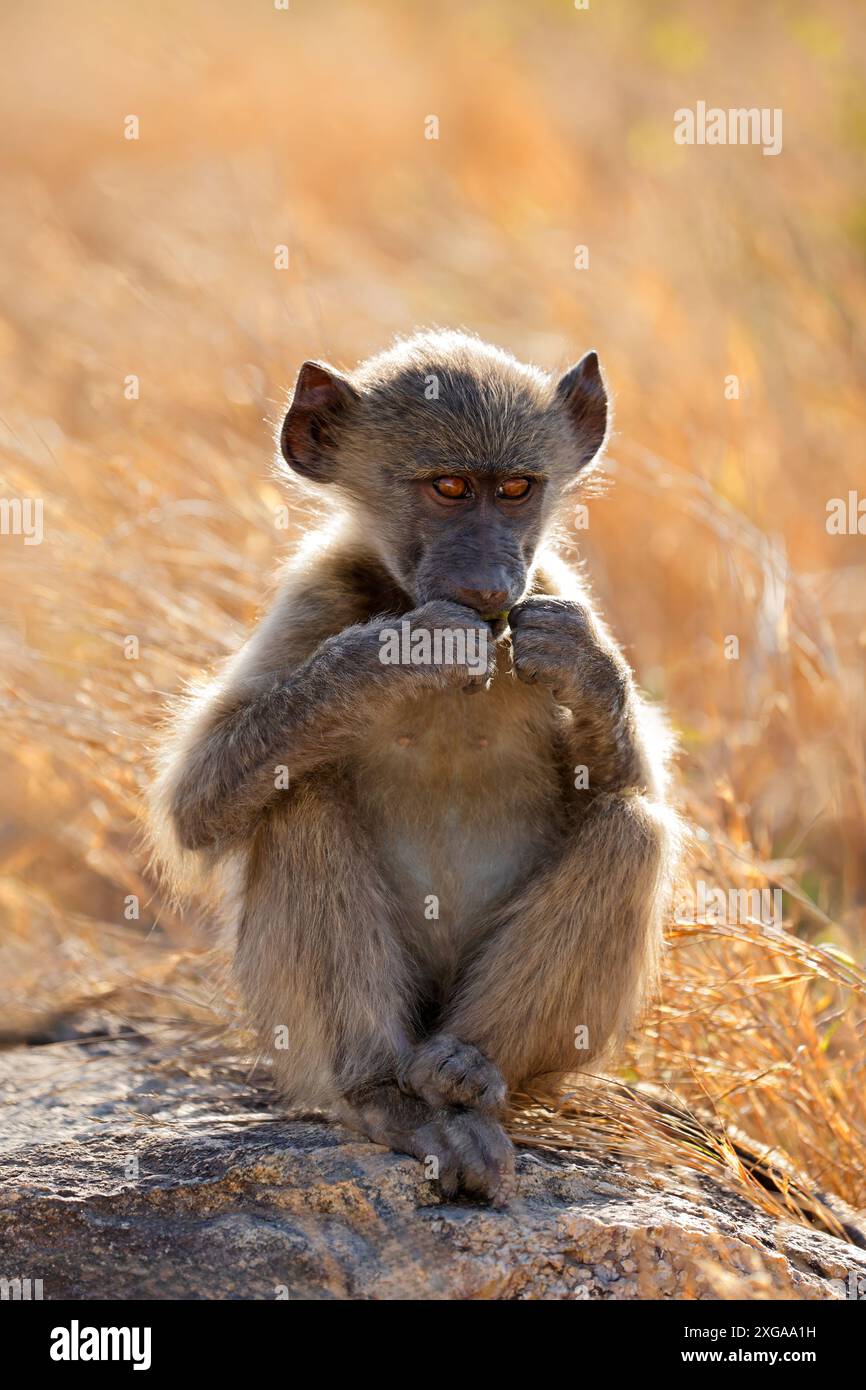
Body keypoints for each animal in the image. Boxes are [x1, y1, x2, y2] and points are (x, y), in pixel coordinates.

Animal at [149, 329, 680, 1206]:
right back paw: (393, 1100)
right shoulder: (318, 599)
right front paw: (397, 654)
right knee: (300, 802)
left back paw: (469, 1071)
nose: (490, 583)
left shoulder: (552, 586)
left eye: (516, 489)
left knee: (630, 830)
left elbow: (629, 784)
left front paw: (585, 665)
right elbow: (194, 804)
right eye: (450, 487)